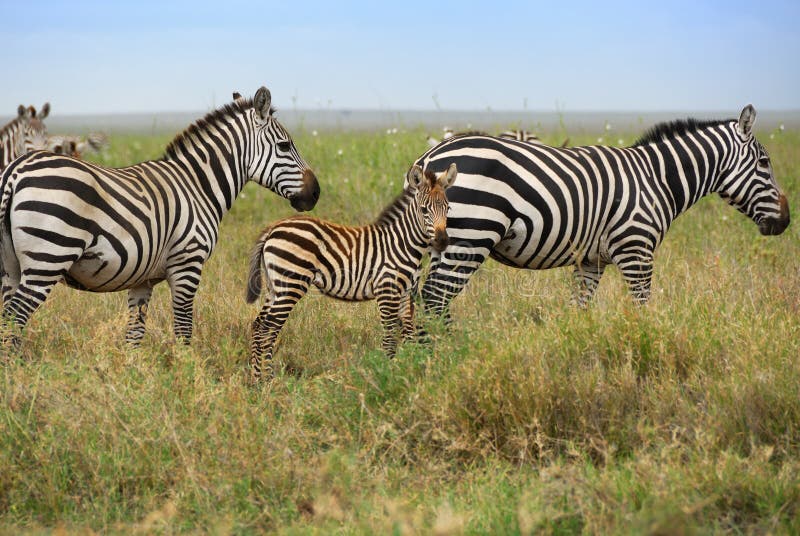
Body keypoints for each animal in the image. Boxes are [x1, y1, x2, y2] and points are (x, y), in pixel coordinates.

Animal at [0, 86, 320, 347]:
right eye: (284, 146)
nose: (316, 193)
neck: (198, 186)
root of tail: (15, 170)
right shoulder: (188, 265)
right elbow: (183, 330)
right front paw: (185, 375)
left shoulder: (143, 280)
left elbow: (134, 335)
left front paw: (134, 377)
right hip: (48, 257)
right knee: (16, 318)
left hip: (10, 267)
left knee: (7, 320)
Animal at [245, 163, 457, 381]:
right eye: (424, 210)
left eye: (447, 208)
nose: (443, 241)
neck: (402, 243)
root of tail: (273, 228)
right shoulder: (386, 291)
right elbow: (390, 338)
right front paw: (388, 374)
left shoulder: (406, 293)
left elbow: (408, 334)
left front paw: (408, 370)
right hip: (291, 285)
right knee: (268, 329)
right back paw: (268, 380)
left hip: (275, 287)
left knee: (258, 326)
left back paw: (257, 380)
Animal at [411, 105, 790, 322]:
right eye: (765, 162)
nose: (786, 220)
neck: (657, 179)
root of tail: (431, 156)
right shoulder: (636, 250)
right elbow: (642, 310)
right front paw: (644, 352)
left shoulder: (590, 261)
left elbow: (579, 312)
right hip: (471, 237)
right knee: (434, 300)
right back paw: (442, 360)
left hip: (436, 242)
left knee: (420, 298)